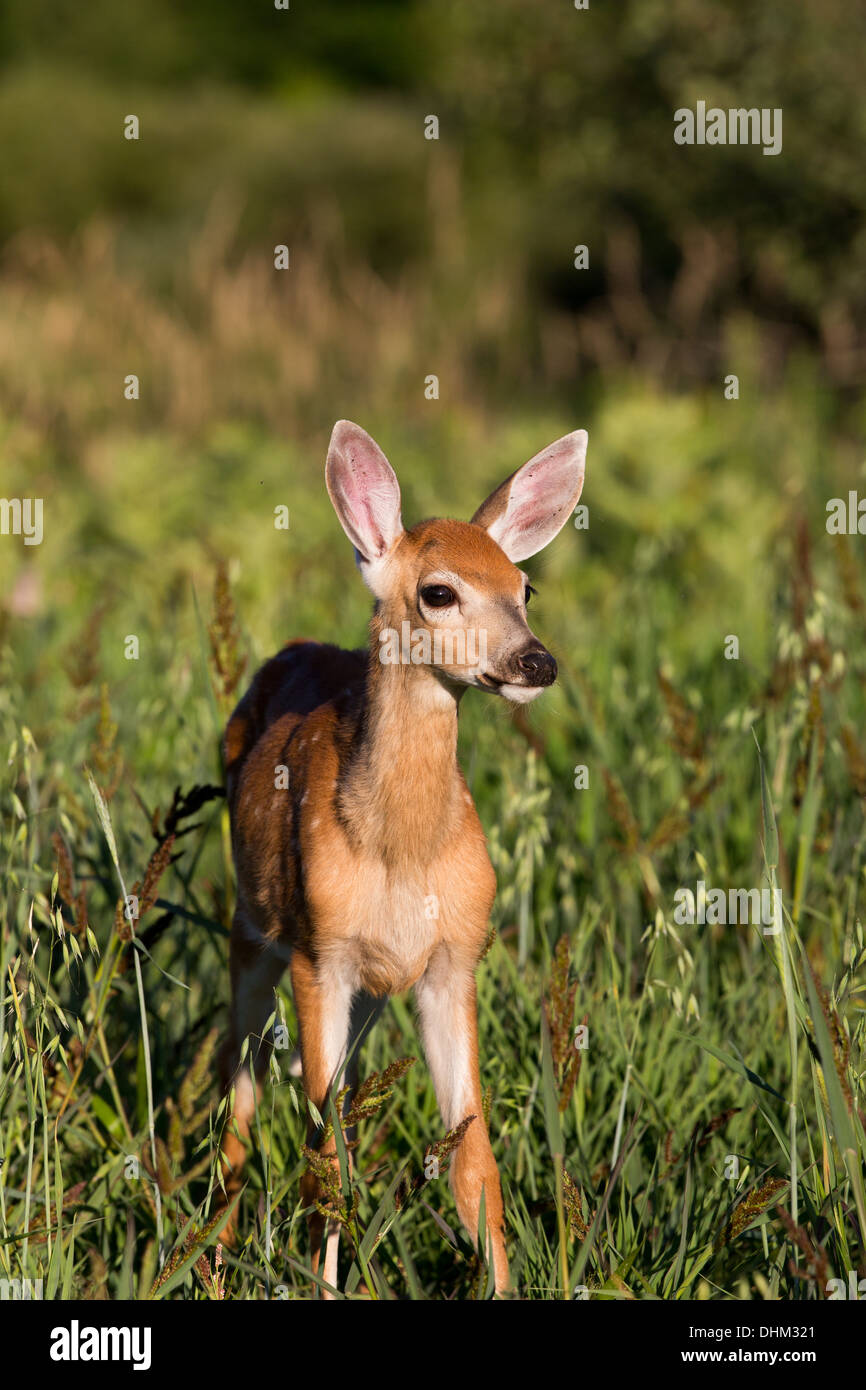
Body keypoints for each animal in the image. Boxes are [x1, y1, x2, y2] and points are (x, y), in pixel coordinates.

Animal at [218, 420, 588, 1296]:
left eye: (526, 589)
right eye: (440, 592)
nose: (537, 662)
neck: (403, 853)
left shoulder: (453, 958)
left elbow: (474, 1163)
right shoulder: (321, 953)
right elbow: (324, 1163)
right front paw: (323, 1284)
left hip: (372, 994)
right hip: (252, 927)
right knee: (239, 1092)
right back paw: (210, 1253)